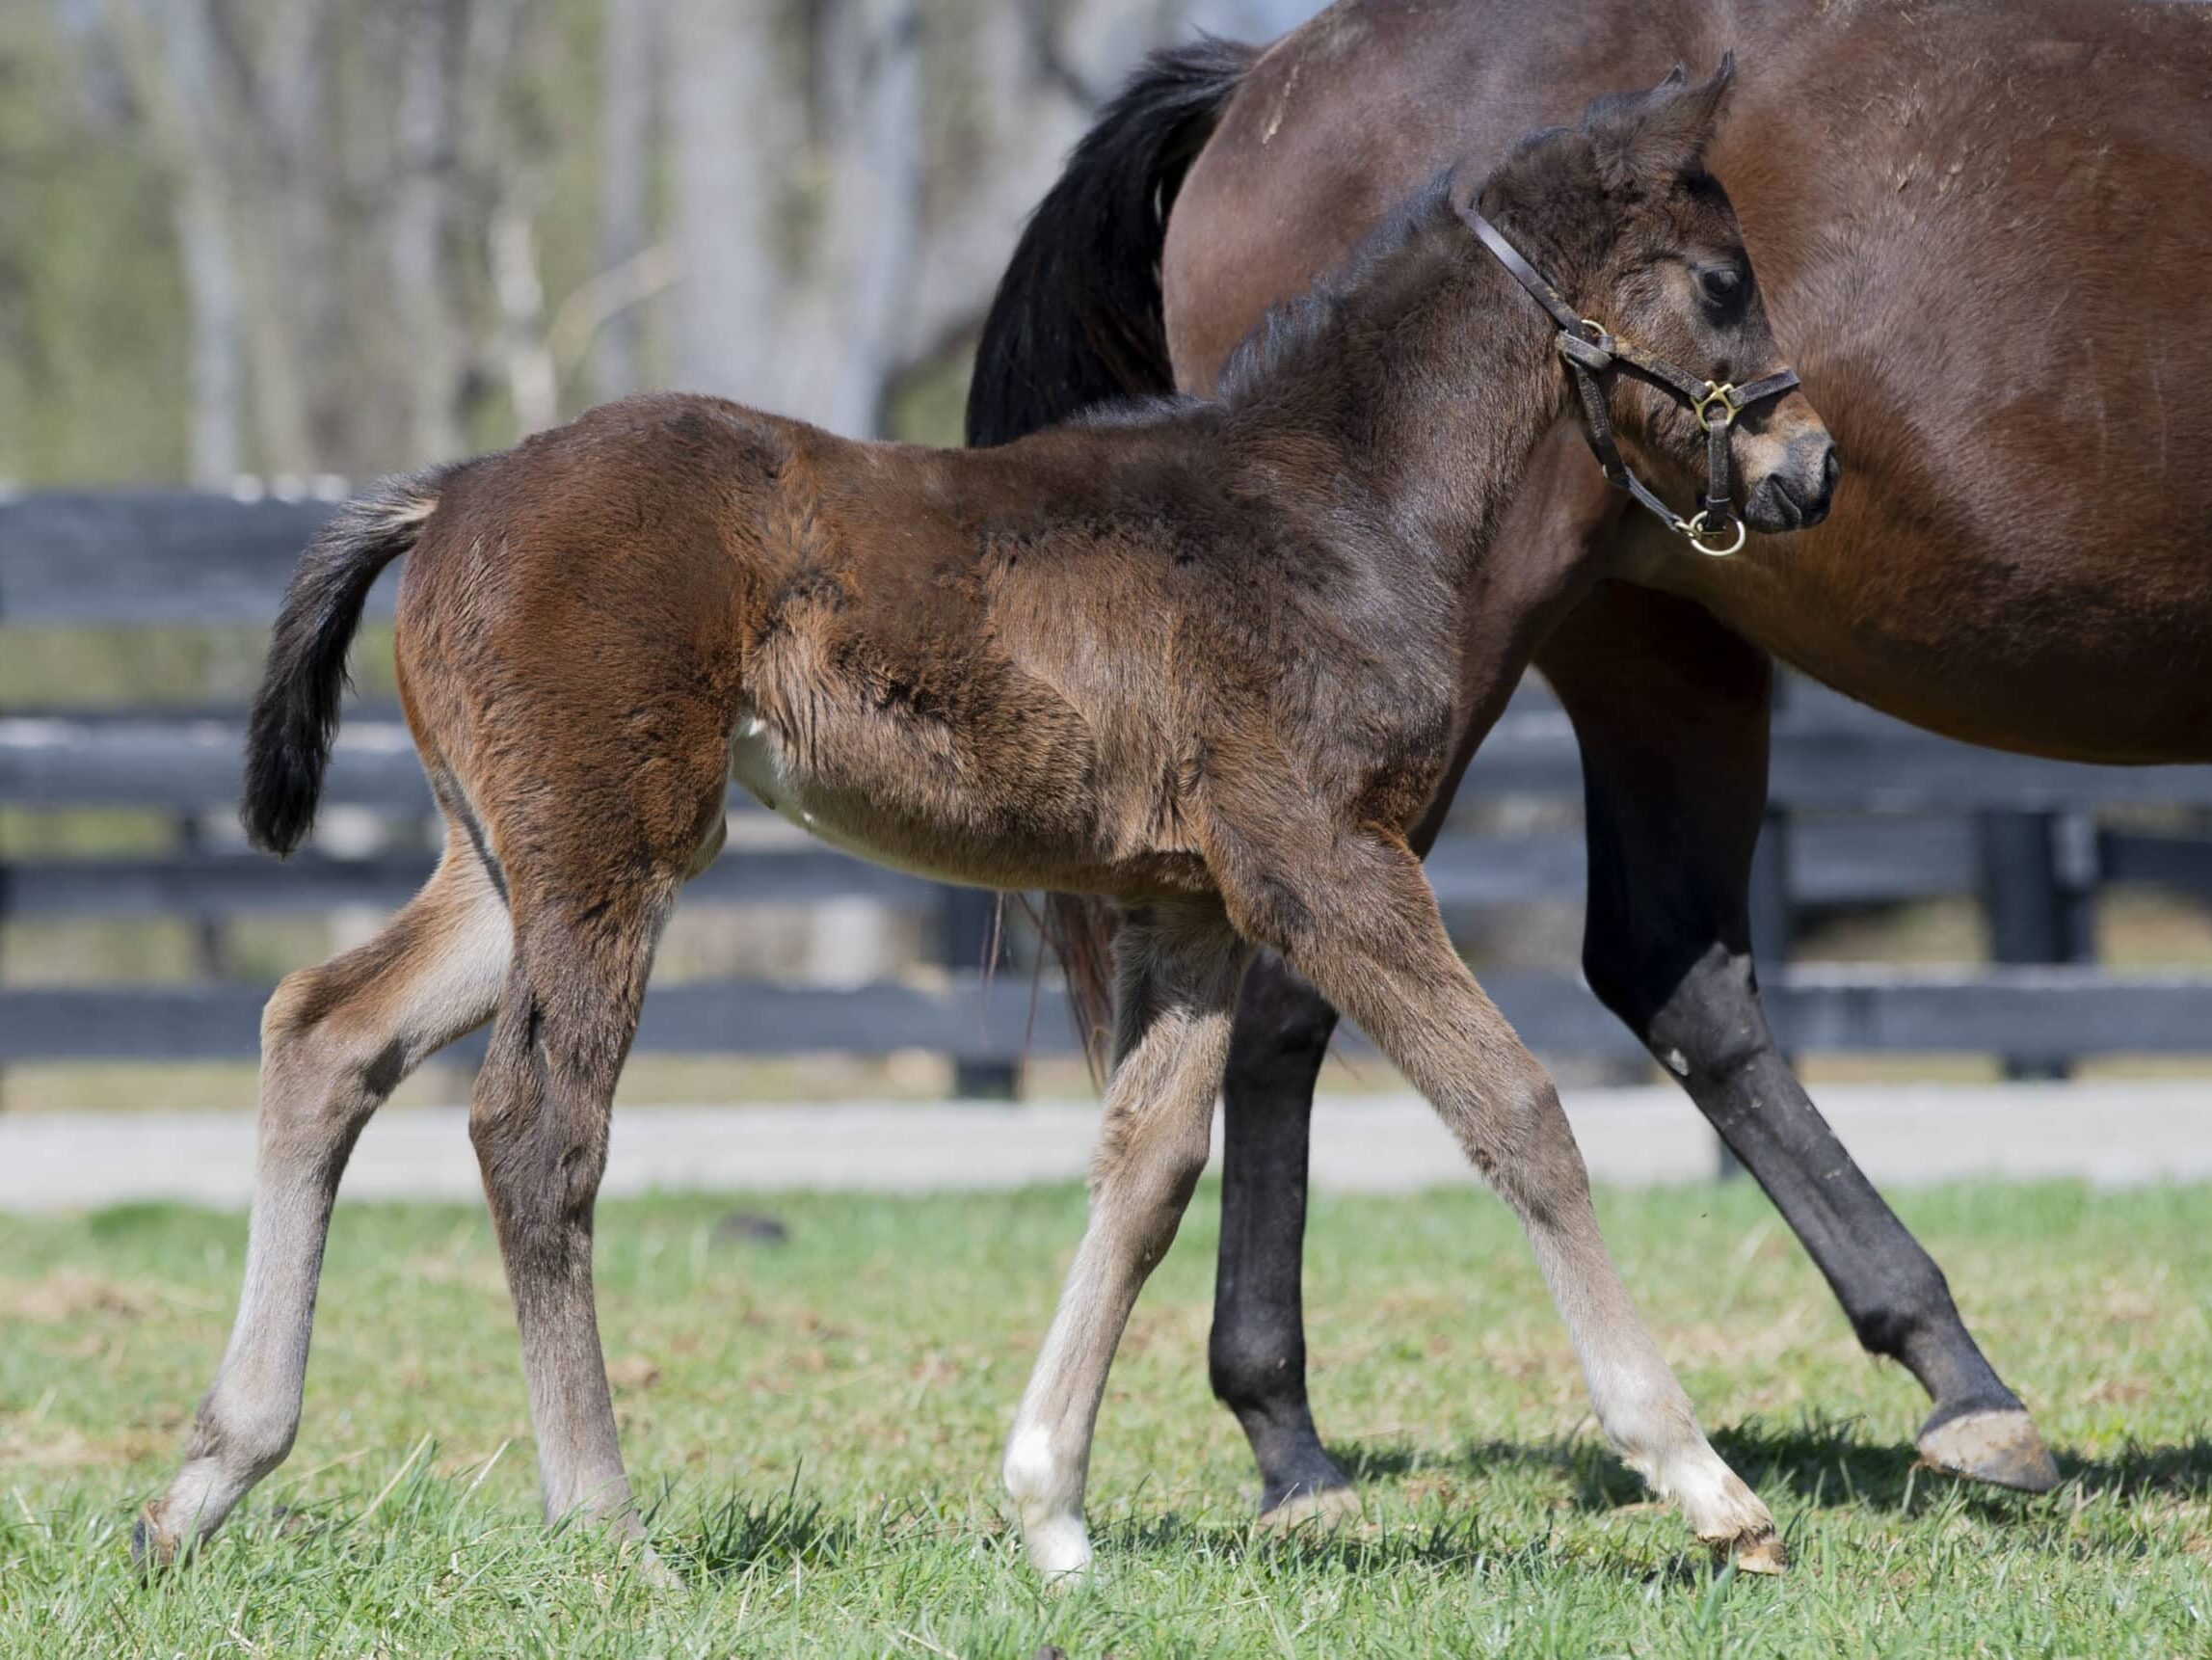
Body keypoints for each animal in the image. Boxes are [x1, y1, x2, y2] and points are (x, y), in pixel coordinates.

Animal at [136, 66, 1832, 1578]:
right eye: (1717, 281)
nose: (1808, 465)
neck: (1333, 507)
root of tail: (454, 490)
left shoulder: (1190, 903)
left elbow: (1145, 1171)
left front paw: (1048, 1506)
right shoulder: (1323, 863)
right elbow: (1515, 1111)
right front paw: (1705, 1485)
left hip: (511, 863)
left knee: (323, 1031)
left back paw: (207, 1479)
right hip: (611, 855)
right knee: (533, 1131)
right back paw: (603, 1521)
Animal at [967, 0, 2212, 1526]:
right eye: (1722, 281)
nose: (1817, 468)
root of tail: (1258, 76)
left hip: (1648, 644)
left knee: (1674, 975)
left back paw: (1959, 1384)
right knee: (1295, 1006)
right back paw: (1288, 1441)